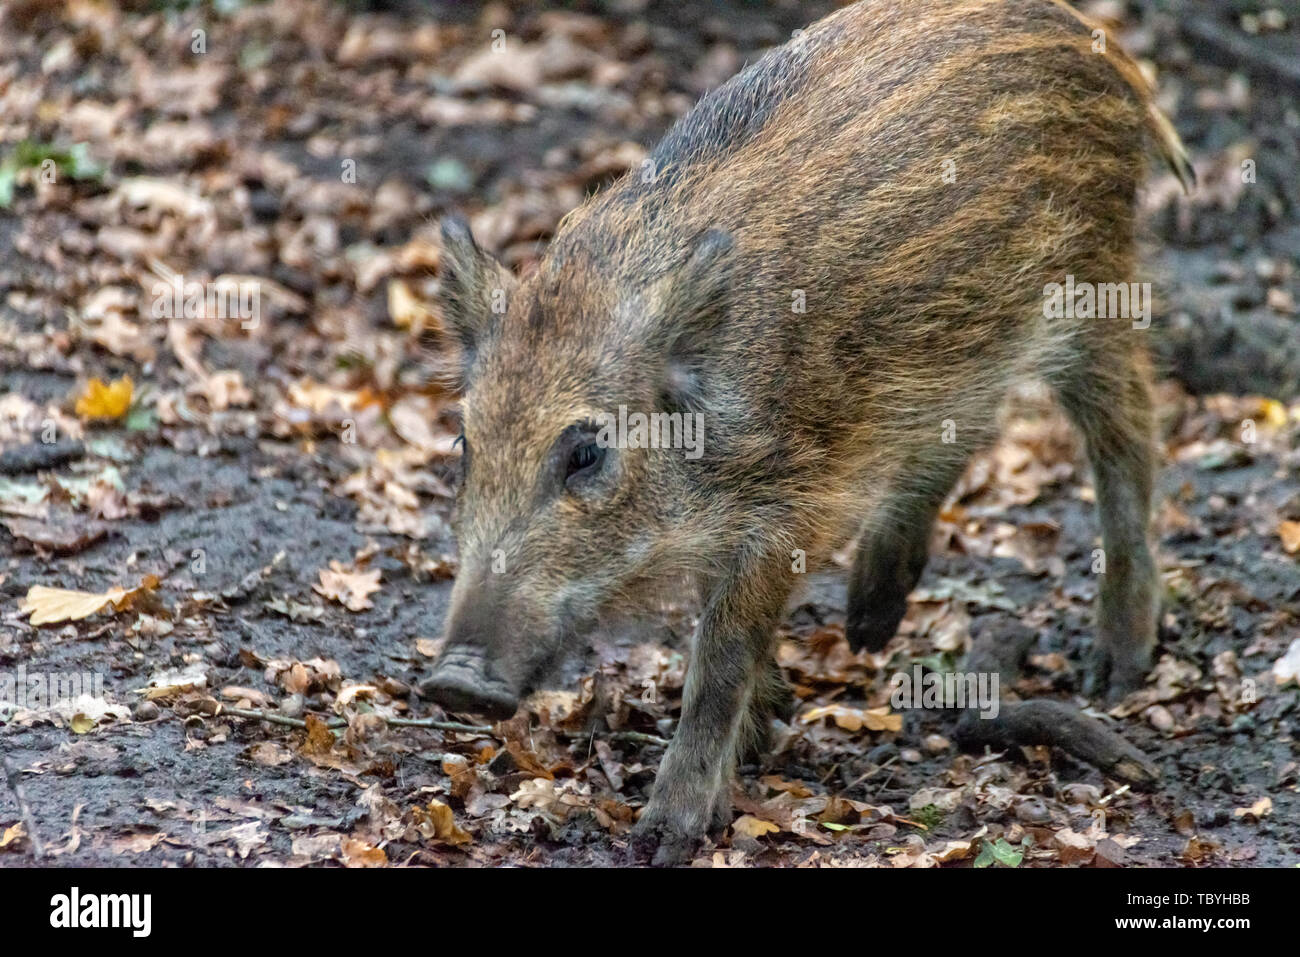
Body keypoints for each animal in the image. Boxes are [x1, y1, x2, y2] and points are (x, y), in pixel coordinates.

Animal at [420, 0, 1193, 864]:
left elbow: (721, 652)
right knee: (967, 423)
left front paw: (667, 833)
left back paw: (1114, 669)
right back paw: (868, 624)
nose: (453, 681)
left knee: (1128, 429)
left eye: (586, 451)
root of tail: (1107, 51)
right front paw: (764, 736)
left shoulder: (794, 507)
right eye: (464, 442)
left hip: (1094, 284)